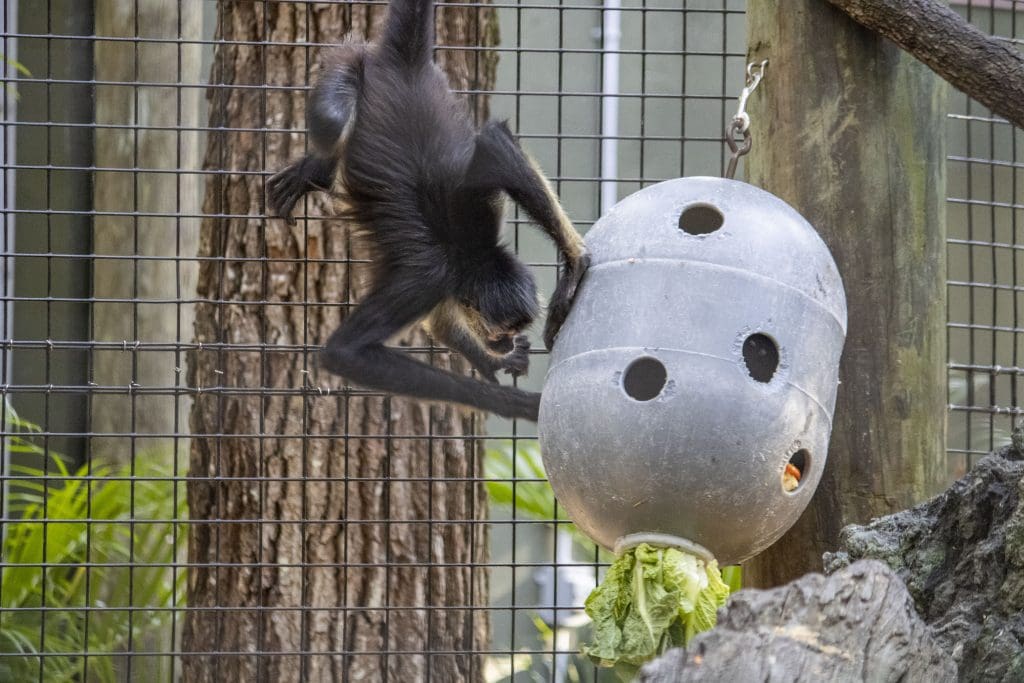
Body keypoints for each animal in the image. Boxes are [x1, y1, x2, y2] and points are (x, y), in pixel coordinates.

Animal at [267, 0, 589, 422]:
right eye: (499, 331)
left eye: (513, 330)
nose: (504, 343)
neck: (469, 252)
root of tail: (405, 63)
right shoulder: (428, 280)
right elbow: (345, 353)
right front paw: (511, 401)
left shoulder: (478, 213)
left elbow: (495, 143)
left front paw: (574, 267)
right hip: (346, 64)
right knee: (332, 121)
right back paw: (320, 166)